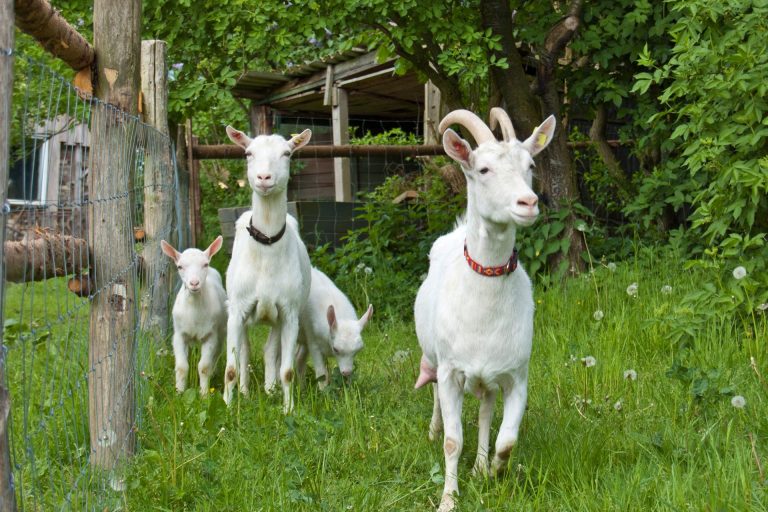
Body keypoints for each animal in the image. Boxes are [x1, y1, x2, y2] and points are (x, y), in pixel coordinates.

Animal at [161, 236, 227, 396]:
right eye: (180, 267)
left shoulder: (210, 335)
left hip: (221, 332)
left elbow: (204, 366)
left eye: (205, 264)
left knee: (216, 354)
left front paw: (204, 394)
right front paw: (179, 392)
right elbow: (182, 366)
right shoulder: (179, 335)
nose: (194, 283)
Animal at [223, 126, 312, 413]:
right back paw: (245, 392)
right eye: (248, 153)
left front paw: (288, 409)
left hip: (275, 317)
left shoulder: (289, 312)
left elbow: (287, 370)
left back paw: (270, 389)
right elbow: (230, 367)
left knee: (270, 351)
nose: (264, 177)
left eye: (287, 153)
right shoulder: (237, 309)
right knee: (245, 351)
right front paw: (227, 407)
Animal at [414, 108, 555, 511]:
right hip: (435, 357)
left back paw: (478, 465)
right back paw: (433, 430)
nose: (528, 203)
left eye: (530, 165)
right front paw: (448, 499)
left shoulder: (517, 376)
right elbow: (452, 441)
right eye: (483, 169)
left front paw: (492, 470)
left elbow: (505, 438)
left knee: (486, 411)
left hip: (487, 378)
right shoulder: (450, 371)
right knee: (435, 397)